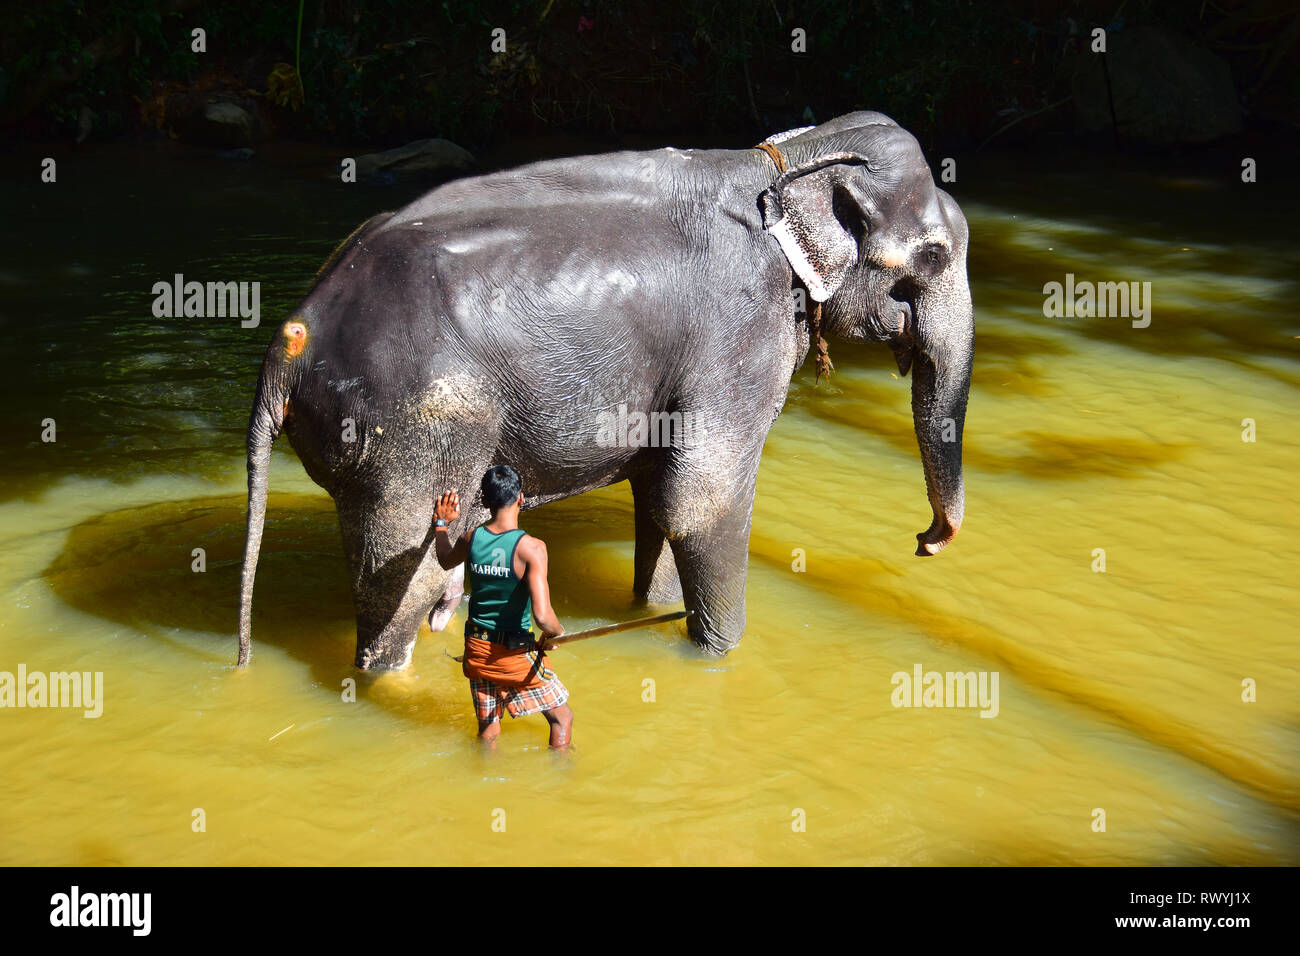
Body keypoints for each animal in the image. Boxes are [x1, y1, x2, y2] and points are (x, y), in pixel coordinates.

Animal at [237, 110, 972, 671]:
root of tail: (289, 341)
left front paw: (652, 612)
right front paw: (718, 655)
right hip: (408, 435)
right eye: (935, 255)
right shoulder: (737, 337)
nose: (927, 539)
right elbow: (700, 503)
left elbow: (660, 498)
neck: (789, 159)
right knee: (403, 588)